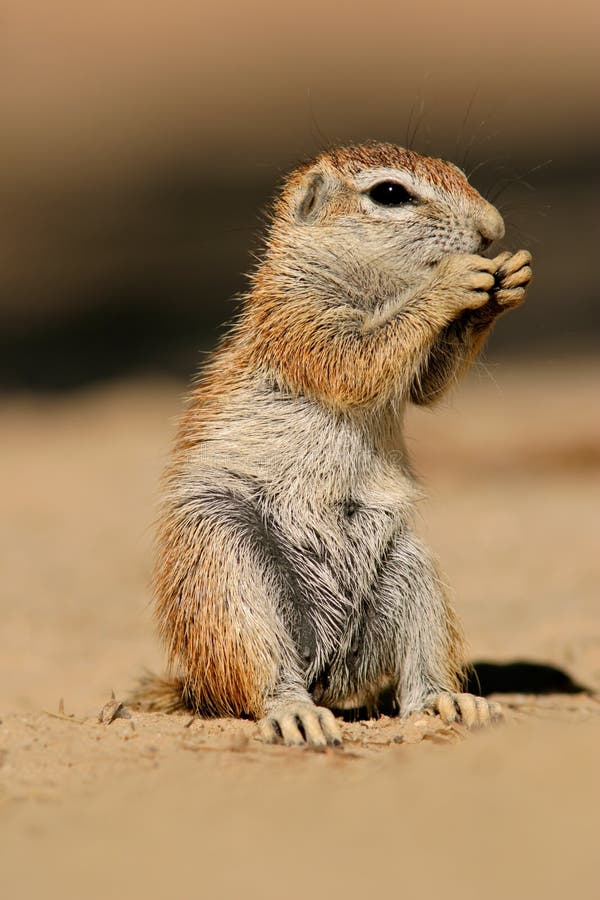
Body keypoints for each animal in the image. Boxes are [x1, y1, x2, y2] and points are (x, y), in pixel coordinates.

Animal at [136, 142, 532, 746]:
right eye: (389, 193)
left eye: (461, 173)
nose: (493, 229)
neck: (375, 289)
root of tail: (324, 670)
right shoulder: (299, 321)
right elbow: (357, 359)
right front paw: (451, 284)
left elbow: (425, 387)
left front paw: (503, 285)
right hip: (222, 561)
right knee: (261, 674)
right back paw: (294, 714)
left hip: (407, 568)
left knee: (415, 673)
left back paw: (447, 702)